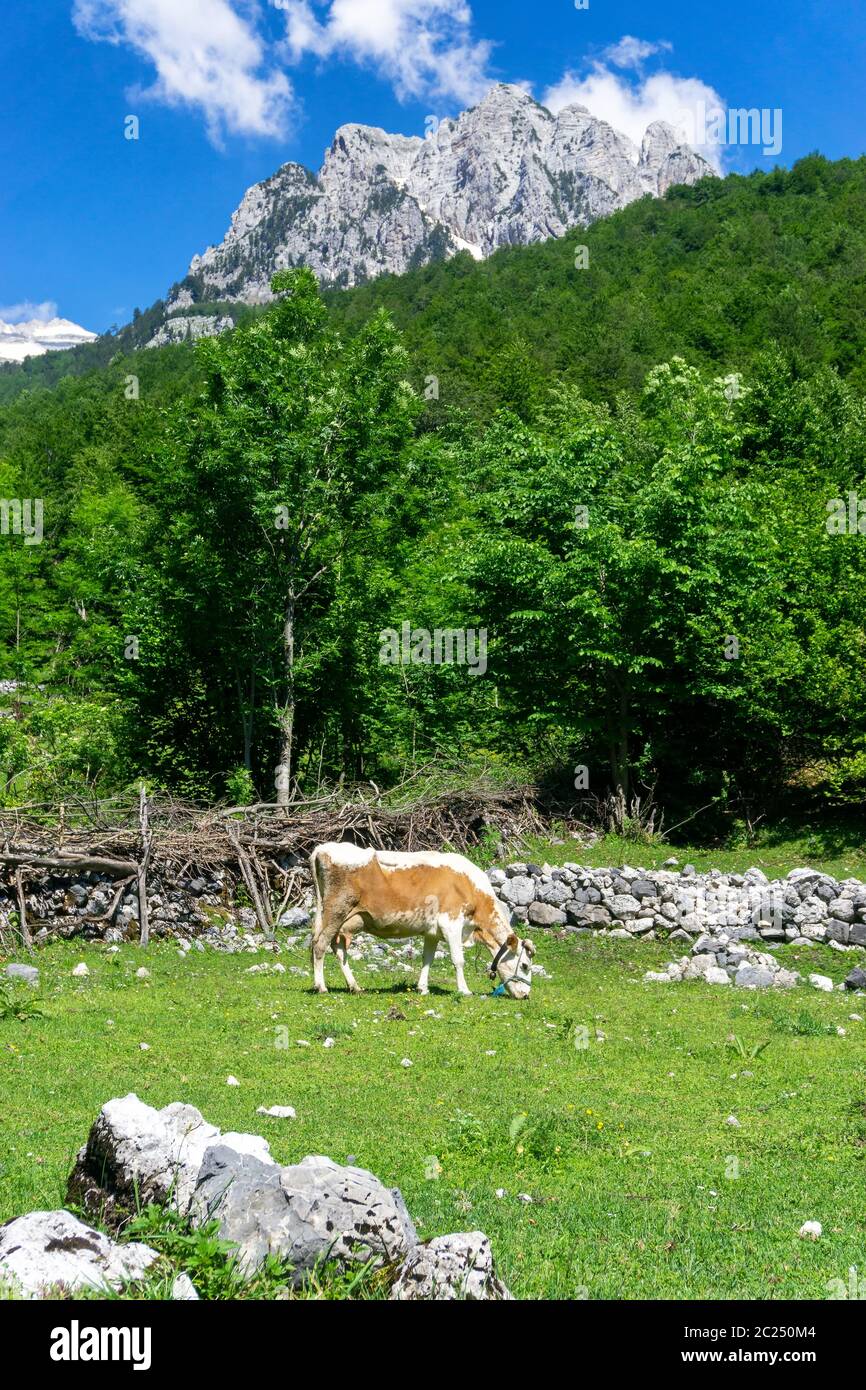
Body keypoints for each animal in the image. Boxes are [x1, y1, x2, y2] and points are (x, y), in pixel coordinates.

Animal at [309, 842, 536, 998]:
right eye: (525, 965)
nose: (526, 995)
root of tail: (322, 848)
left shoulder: (432, 931)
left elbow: (427, 959)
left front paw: (423, 988)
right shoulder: (451, 923)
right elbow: (458, 959)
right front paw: (464, 990)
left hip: (341, 918)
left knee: (337, 947)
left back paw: (354, 986)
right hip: (336, 910)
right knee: (320, 945)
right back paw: (321, 986)